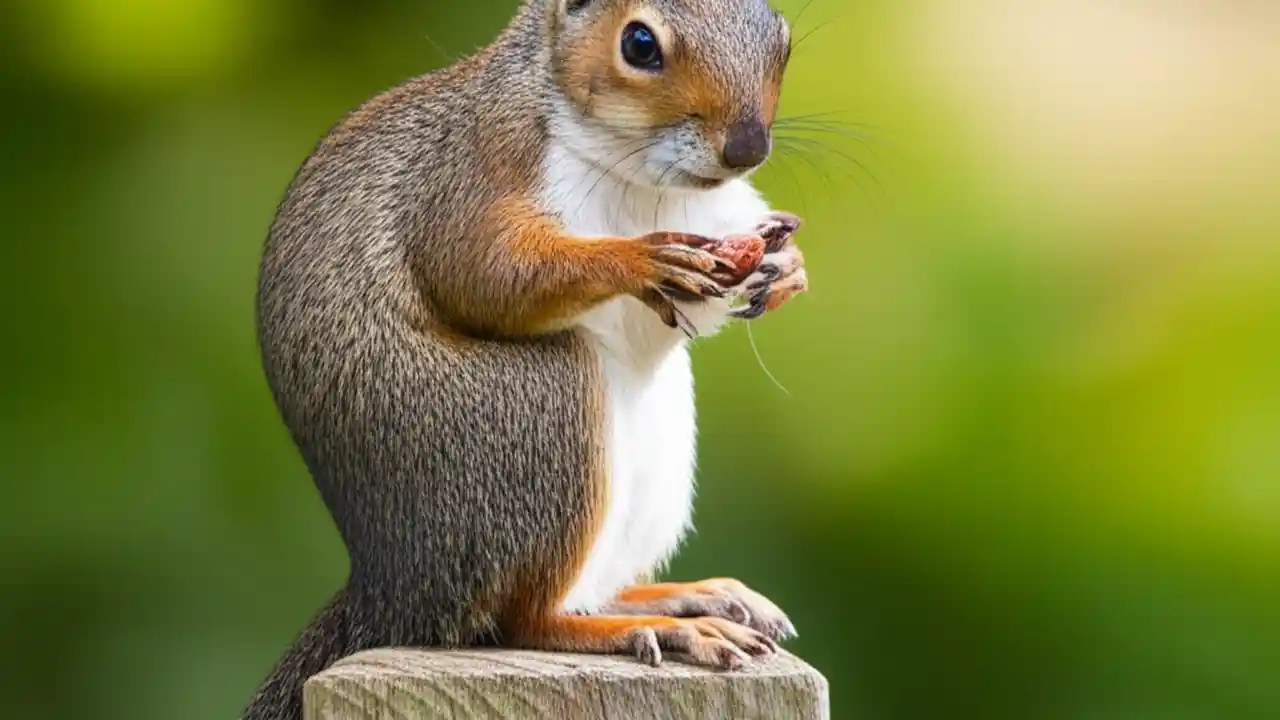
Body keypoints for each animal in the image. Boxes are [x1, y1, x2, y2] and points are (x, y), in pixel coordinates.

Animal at [246, 1, 808, 718]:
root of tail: (395, 587)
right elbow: (481, 275)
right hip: (540, 414)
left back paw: (685, 597)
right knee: (523, 619)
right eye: (640, 44)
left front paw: (787, 269)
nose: (747, 148)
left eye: (782, 40)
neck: (641, 179)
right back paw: (654, 628)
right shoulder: (471, 174)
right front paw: (638, 258)